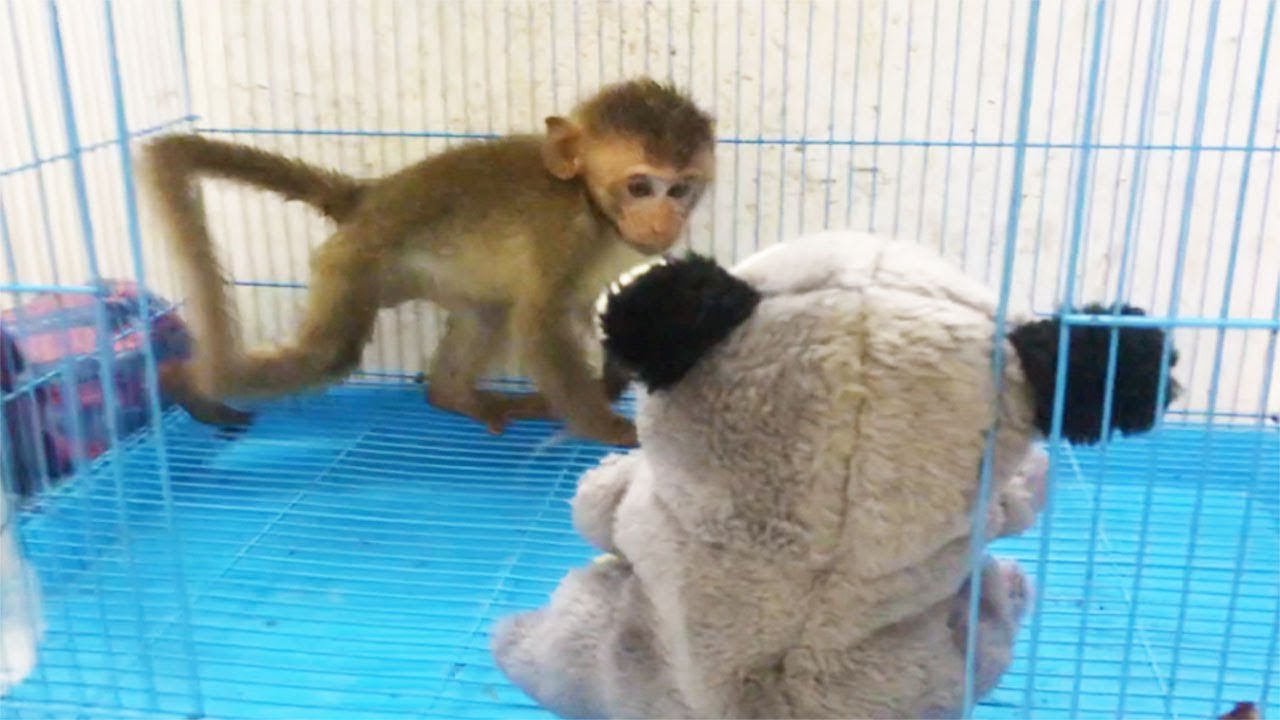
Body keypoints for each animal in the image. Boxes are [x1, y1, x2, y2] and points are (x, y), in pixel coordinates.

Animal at [136, 78, 715, 447]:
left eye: (680, 189)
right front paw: (608, 427)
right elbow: (540, 327)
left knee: (487, 314)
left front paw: (615, 382)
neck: (596, 212)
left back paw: (451, 394)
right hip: (353, 262)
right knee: (326, 355)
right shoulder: (564, 235)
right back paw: (183, 380)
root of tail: (369, 198)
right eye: (640, 187)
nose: (665, 219)